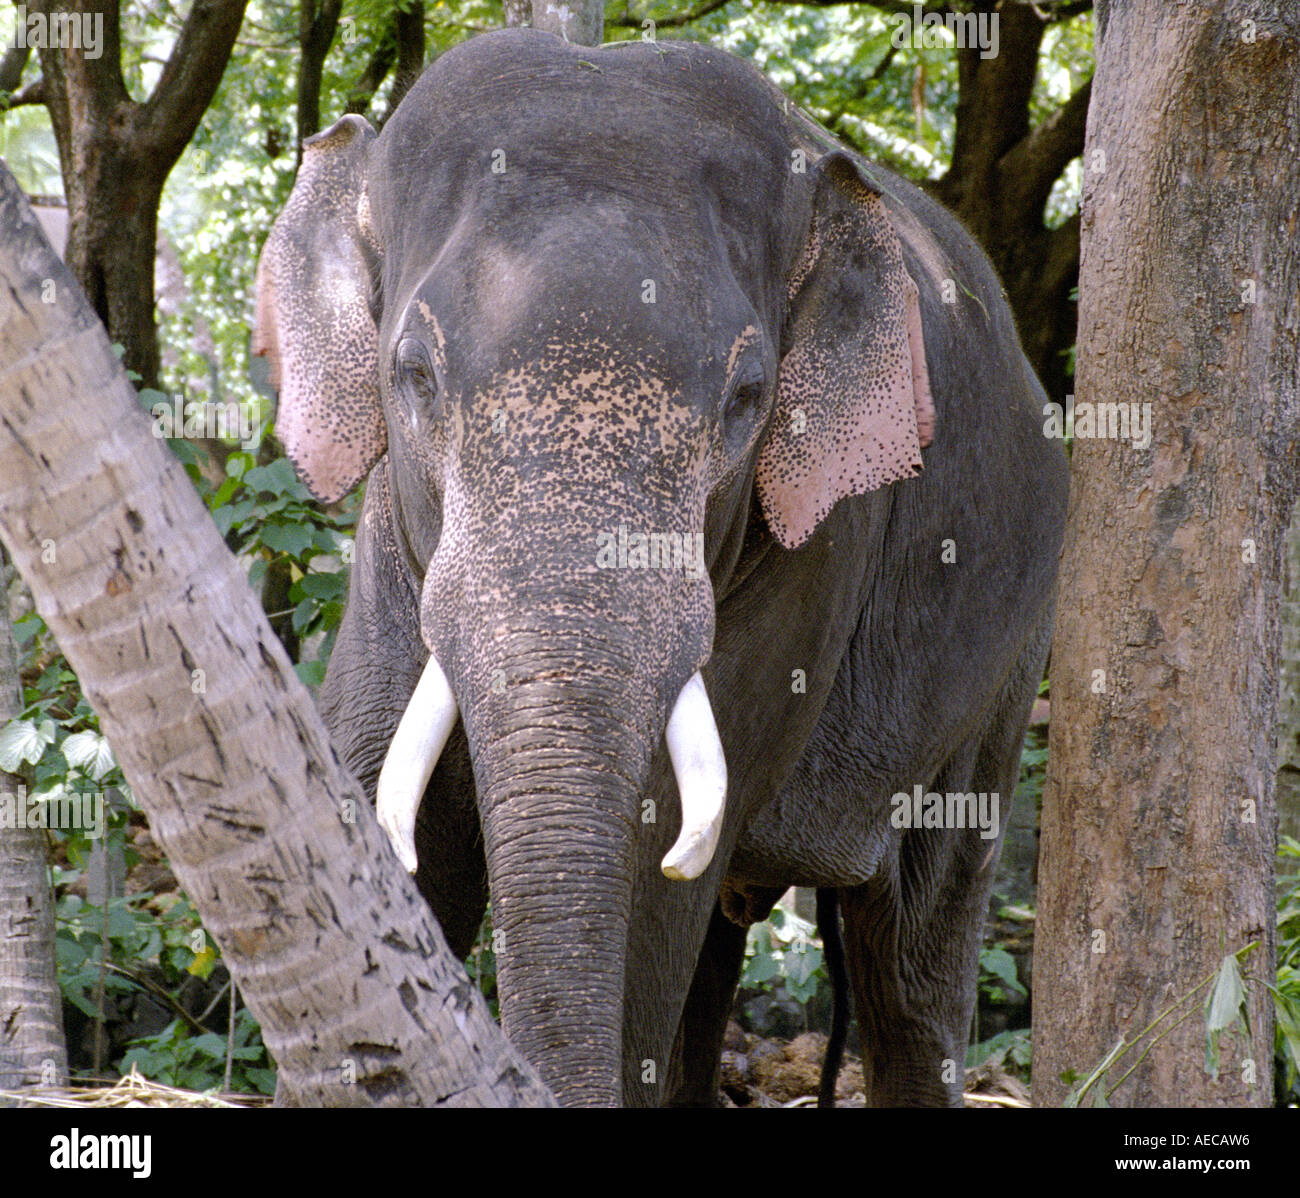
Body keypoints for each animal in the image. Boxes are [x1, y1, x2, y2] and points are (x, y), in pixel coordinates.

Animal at [253, 26, 1068, 1107]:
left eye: (747, 396)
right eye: (413, 376)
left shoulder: (819, 548)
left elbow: (658, 859)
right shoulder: (386, 540)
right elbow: (380, 795)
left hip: (1012, 655)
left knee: (911, 958)